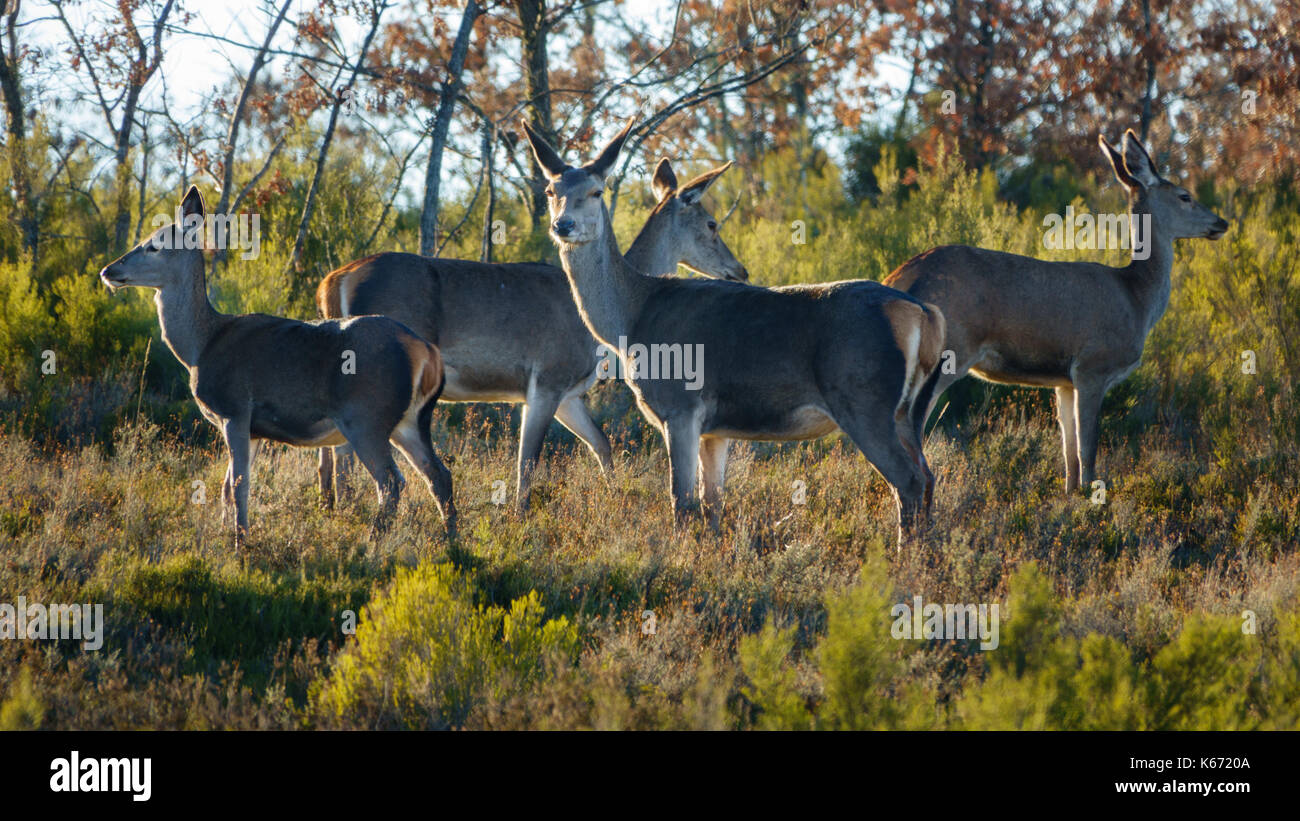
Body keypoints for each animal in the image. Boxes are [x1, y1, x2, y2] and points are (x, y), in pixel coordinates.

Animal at [99, 186, 457, 549]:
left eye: (154, 245)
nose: (108, 271)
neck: (201, 346)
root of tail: (426, 352)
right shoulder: (254, 429)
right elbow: (226, 487)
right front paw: (225, 535)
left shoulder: (234, 410)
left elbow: (239, 486)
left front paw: (239, 544)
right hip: (410, 419)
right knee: (439, 475)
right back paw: (452, 541)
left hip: (365, 417)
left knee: (391, 482)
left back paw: (371, 544)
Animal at [315, 158, 749, 512]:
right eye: (712, 224)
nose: (740, 270)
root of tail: (332, 281)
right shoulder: (548, 377)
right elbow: (529, 461)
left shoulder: (568, 393)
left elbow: (601, 443)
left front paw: (614, 496)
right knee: (347, 453)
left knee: (328, 451)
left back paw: (330, 507)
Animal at [521, 118, 947, 548]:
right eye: (551, 191)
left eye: (596, 191)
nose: (563, 225)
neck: (632, 318)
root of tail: (922, 312)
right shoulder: (715, 429)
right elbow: (712, 505)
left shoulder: (681, 404)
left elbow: (681, 502)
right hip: (909, 408)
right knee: (927, 476)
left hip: (863, 397)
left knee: (908, 480)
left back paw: (906, 558)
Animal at [883, 129, 1229, 495]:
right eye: (1185, 195)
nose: (1221, 222)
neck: (1137, 296)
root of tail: (898, 277)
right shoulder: (1093, 366)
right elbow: (1088, 449)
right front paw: (1094, 499)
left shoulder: (1063, 381)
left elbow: (1069, 456)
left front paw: (1071, 496)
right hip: (949, 352)